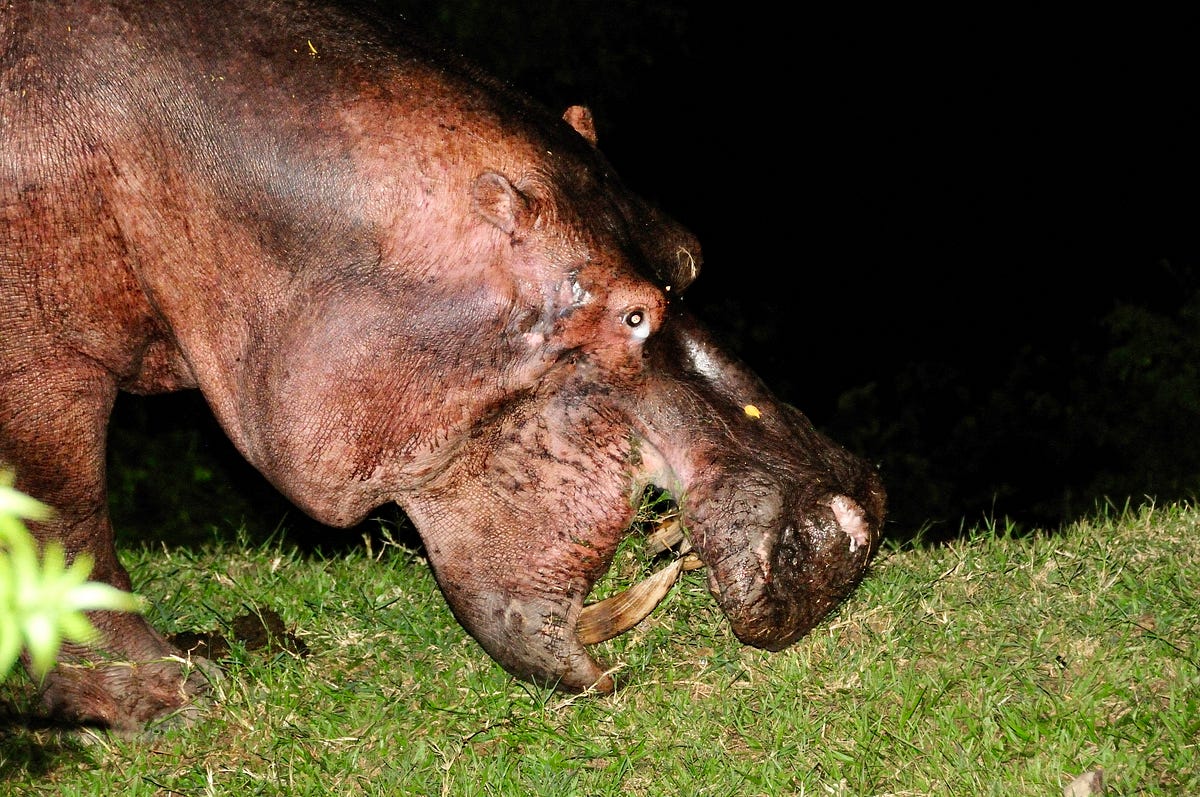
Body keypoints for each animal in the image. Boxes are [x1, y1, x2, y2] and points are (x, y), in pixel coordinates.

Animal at [0, 0, 886, 732]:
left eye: (691, 252)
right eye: (632, 313)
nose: (852, 517)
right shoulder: (40, 374)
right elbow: (67, 519)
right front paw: (168, 698)